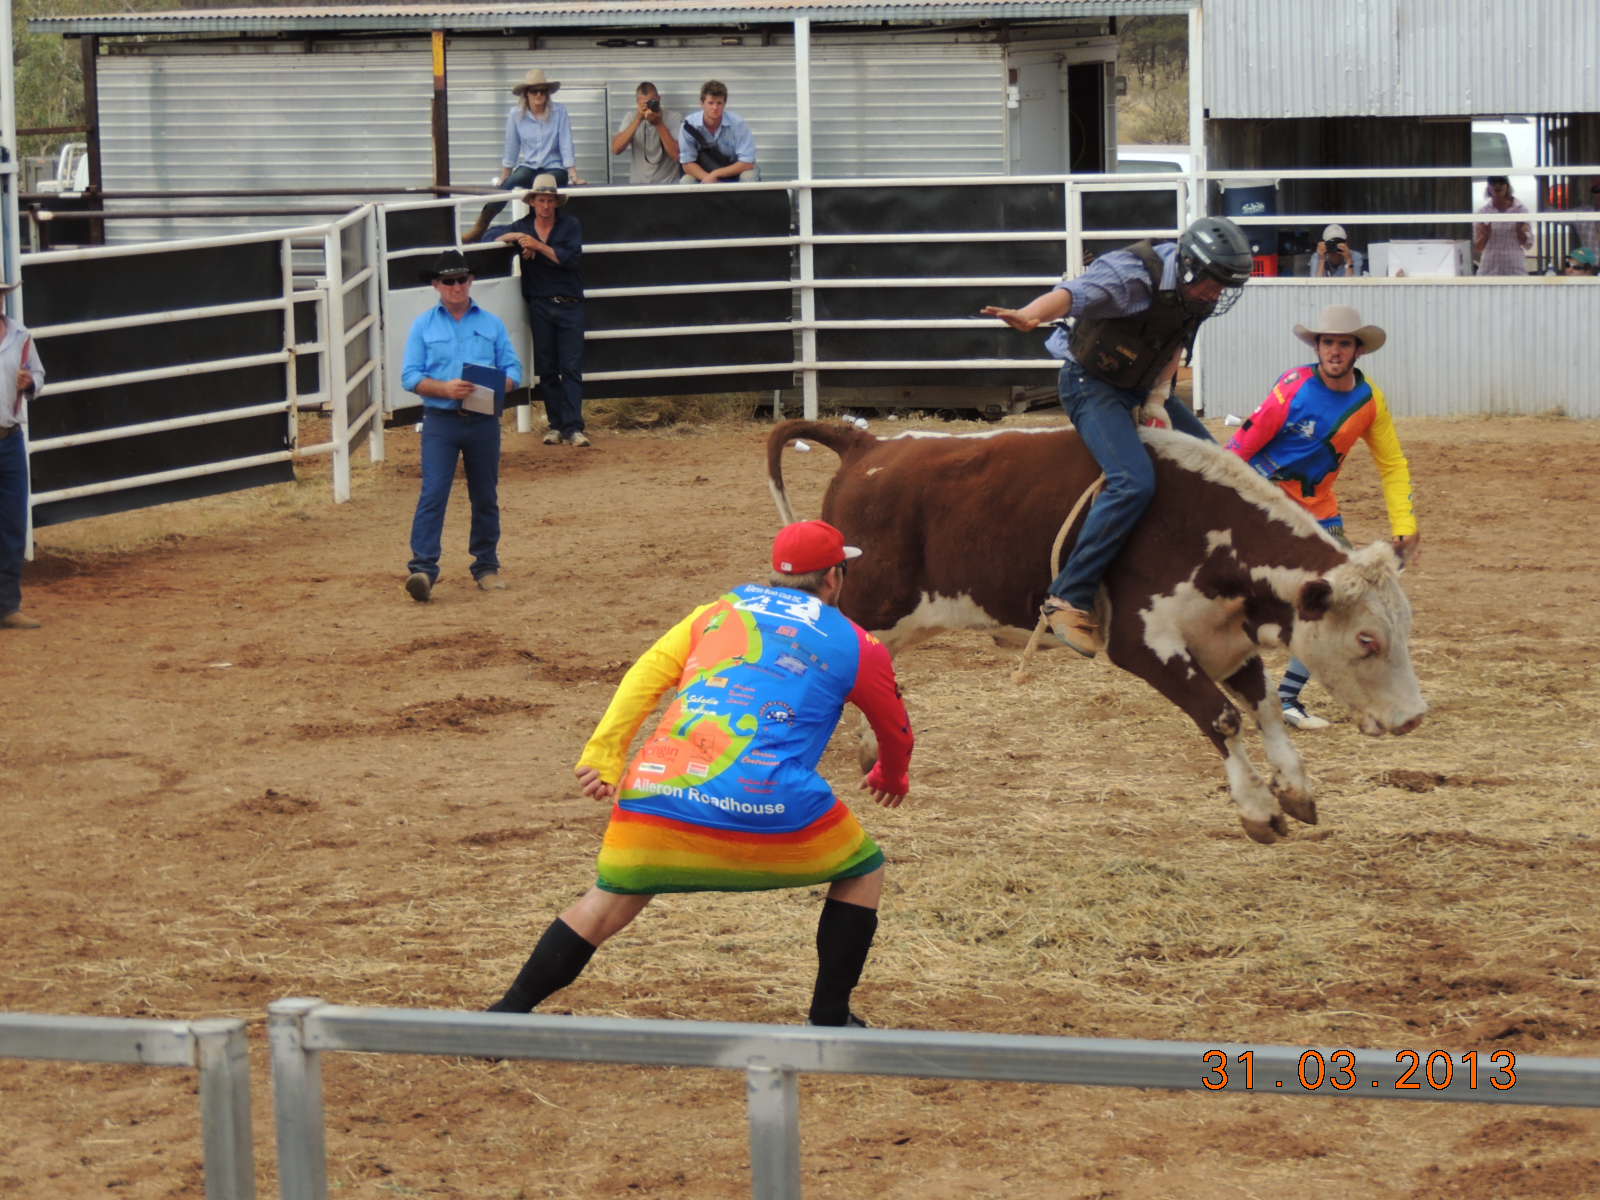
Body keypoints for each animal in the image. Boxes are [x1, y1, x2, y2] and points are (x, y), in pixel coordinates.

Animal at [766, 418, 1426, 844]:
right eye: (1367, 639)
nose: (1413, 718)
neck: (1204, 528)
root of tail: (867, 445)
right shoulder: (1145, 644)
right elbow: (1221, 717)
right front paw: (1259, 810)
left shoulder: (1225, 638)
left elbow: (1261, 707)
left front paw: (1295, 789)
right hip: (867, 601)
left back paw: (874, 750)